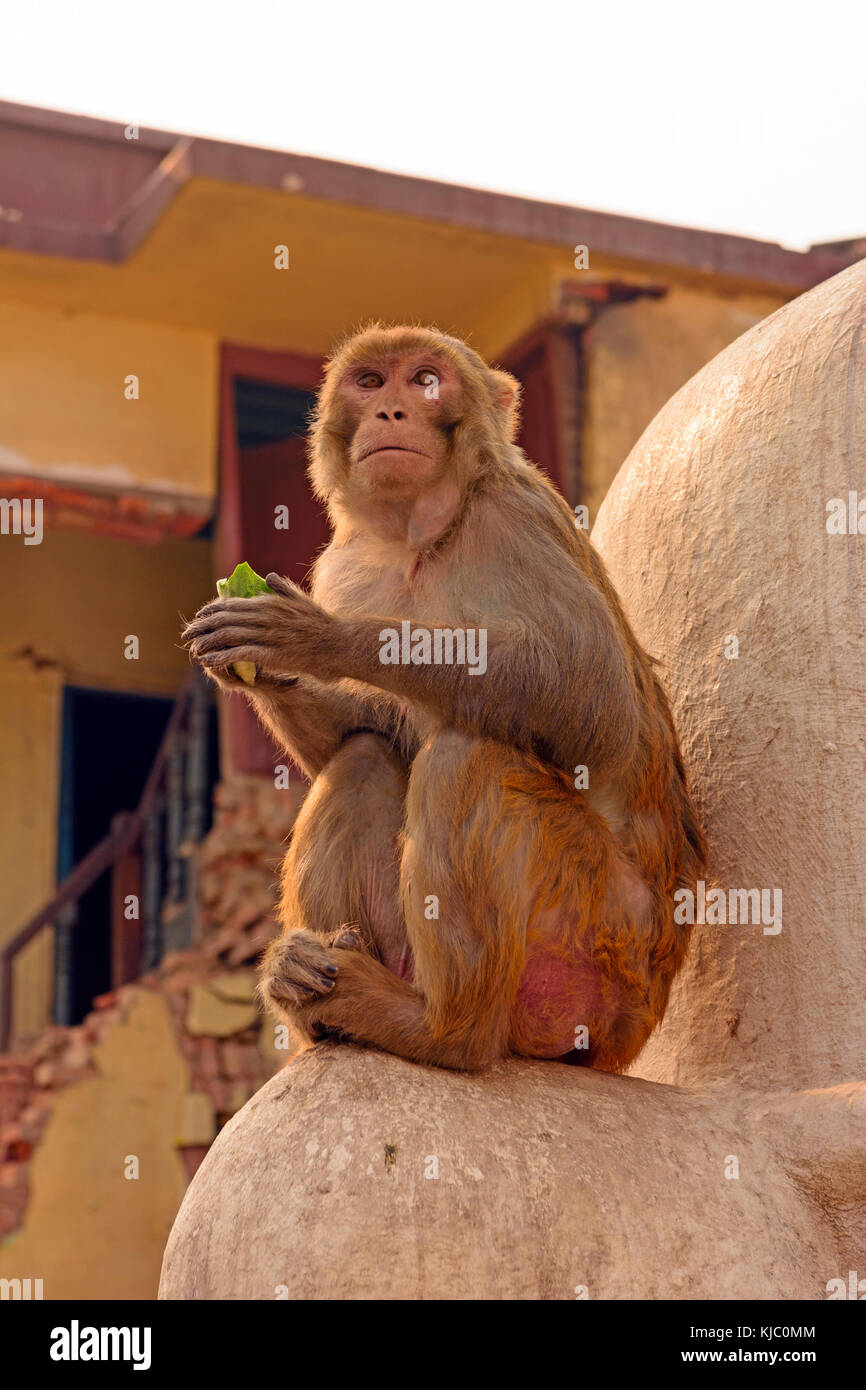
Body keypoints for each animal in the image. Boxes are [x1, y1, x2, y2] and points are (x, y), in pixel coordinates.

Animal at [182, 325, 706, 1072]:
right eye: (371, 382)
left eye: (426, 380)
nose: (392, 411)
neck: (424, 536)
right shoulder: (348, 563)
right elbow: (372, 729)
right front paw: (255, 663)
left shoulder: (515, 517)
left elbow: (592, 698)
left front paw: (315, 636)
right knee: (363, 759)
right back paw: (319, 991)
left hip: (603, 936)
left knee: (467, 757)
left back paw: (444, 1030)